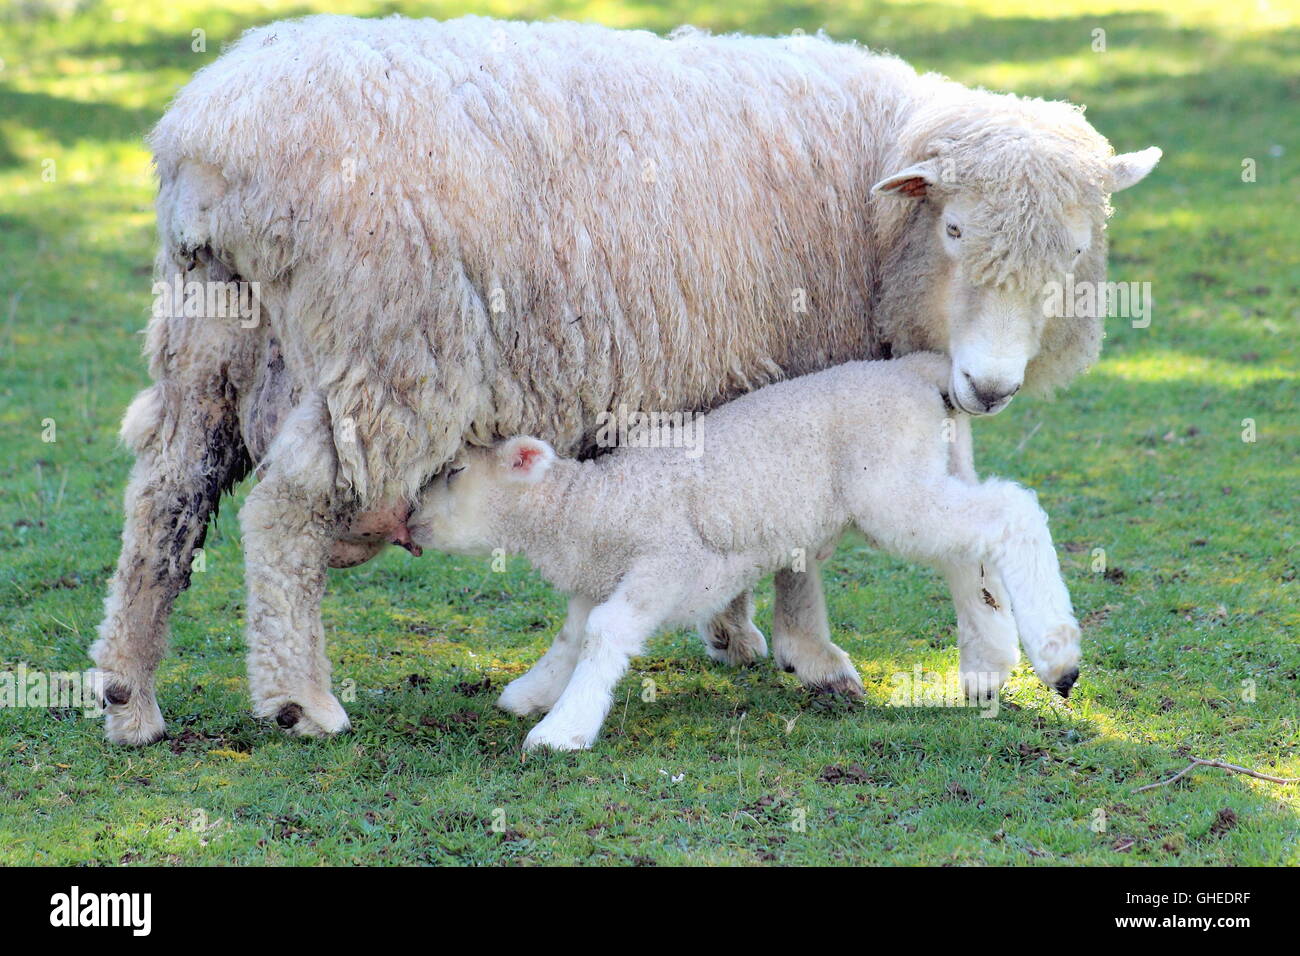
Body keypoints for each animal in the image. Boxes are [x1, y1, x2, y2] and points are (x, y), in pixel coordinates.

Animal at [407, 352, 1081, 751]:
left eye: (456, 471)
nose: (409, 524)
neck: (589, 507)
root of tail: (914, 369)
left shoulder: (666, 564)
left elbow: (604, 633)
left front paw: (564, 727)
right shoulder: (599, 577)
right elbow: (572, 637)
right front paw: (533, 693)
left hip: (890, 488)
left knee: (1012, 510)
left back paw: (1057, 656)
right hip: (923, 475)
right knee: (971, 544)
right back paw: (989, 663)